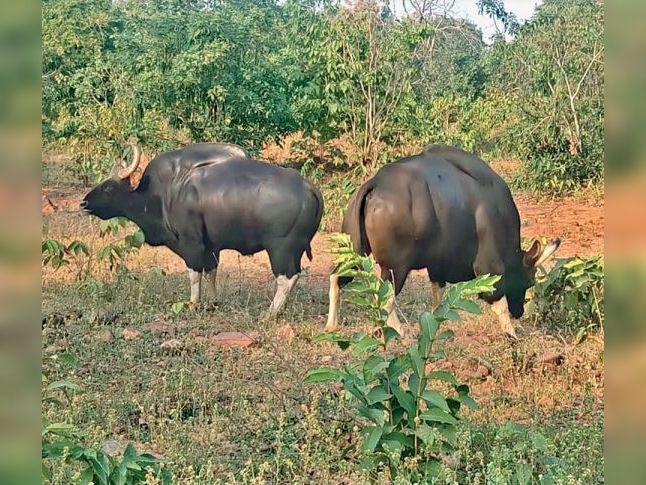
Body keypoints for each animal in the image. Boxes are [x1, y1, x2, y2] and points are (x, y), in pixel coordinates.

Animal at [81, 141, 323, 317]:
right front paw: (213, 302)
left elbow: (194, 273)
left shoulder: (192, 243)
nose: (83, 203)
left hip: (280, 248)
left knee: (286, 278)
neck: (163, 195)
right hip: (294, 250)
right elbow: (211, 271)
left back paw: (270, 313)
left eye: (108, 187)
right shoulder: (211, 246)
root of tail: (309, 188)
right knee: (295, 275)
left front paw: (194, 304)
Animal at [325, 144, 560, 337]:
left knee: (337, 277)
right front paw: (511, 333)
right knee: (385, 297)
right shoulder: (489, 265)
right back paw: (398, 331)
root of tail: (375, 184)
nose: (519, 312)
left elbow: (437, 299)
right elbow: (498, 300)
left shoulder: (437, 267)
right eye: (529, 282)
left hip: (353, 251)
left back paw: (332, 325)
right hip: (395, 267)